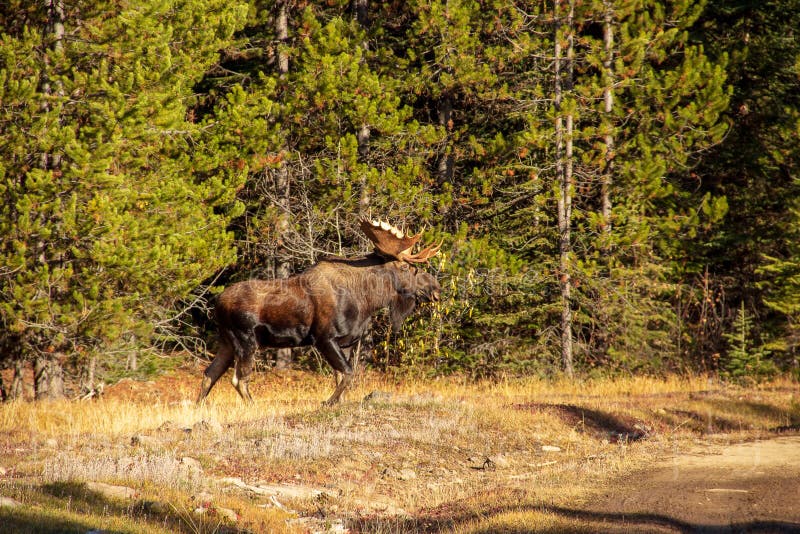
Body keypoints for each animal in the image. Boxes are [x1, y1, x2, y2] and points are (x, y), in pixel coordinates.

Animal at [196, 218, 441, 405]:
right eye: (406, 267)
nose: (435, 289)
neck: (365, 302)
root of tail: (216, 304)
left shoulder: (347, 341)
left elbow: (341, 376)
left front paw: (338, 402)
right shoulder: (324, 338)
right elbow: (349, 373)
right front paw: (329, 402)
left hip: (227, 342)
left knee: (210, 373)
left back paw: (200, 407)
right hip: (246, 340)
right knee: (239, 379)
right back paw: (253, 406)